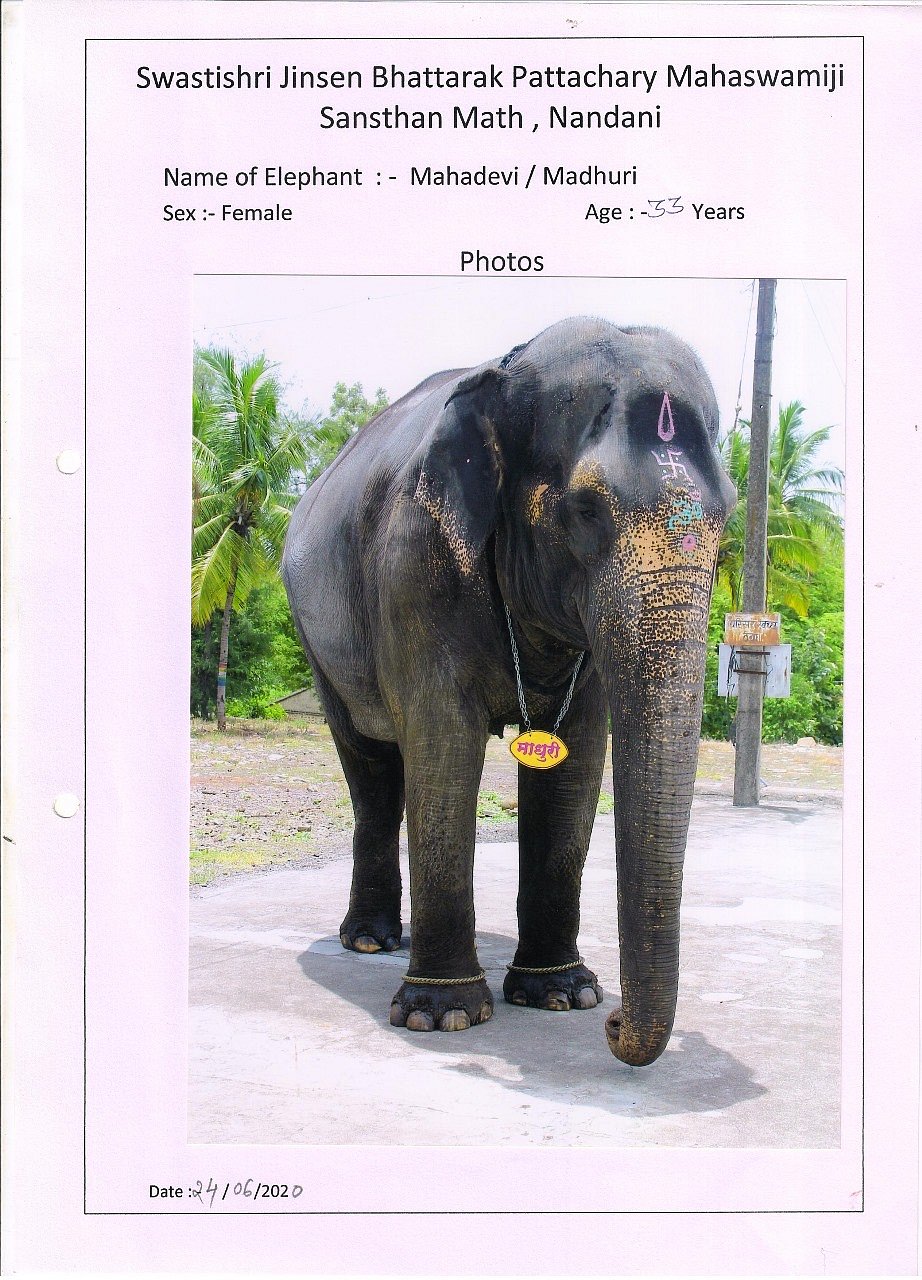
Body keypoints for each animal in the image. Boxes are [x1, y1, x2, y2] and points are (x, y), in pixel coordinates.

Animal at [282, 316, 735, 1066]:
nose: (614, 1025)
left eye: (728, 517)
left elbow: (576, 764)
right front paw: (441, 1014)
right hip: (319, 639)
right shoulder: (415, 565)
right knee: (370, 764)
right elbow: (444, 746)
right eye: (584, 509)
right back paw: (372, 940)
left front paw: (563, 994)